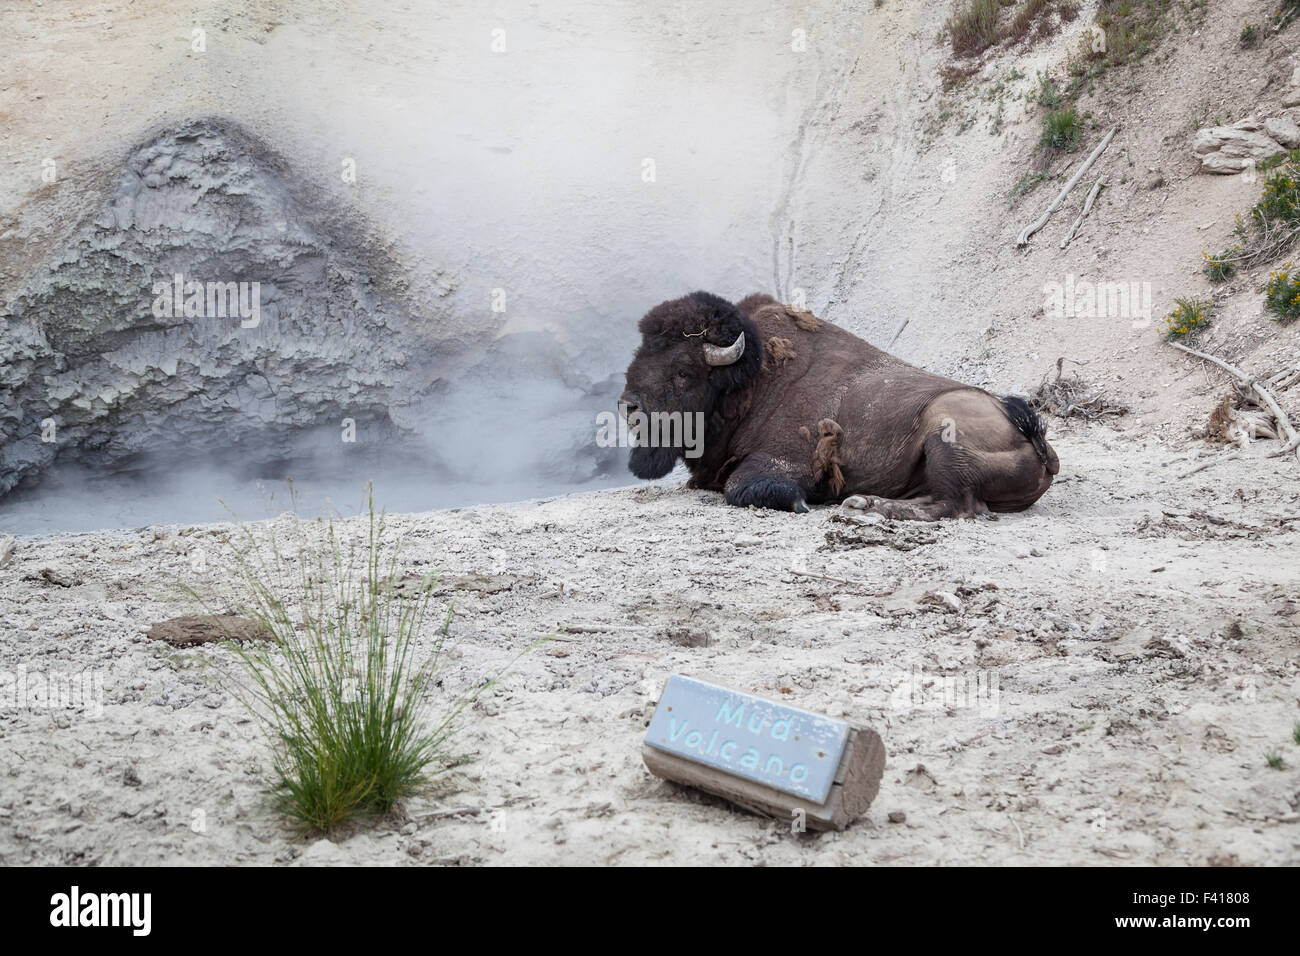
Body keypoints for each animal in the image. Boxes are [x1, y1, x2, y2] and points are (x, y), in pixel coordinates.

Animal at [619, 291, 1058, 520]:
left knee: (954, 505)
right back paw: (863, 502)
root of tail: (1038, 444)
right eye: (641, 352)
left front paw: (799, 502)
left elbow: (741, 486)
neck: (751, 382)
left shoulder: (787, 462)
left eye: (683, 371)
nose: (628, 407)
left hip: (943, 430)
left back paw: (865, 505)